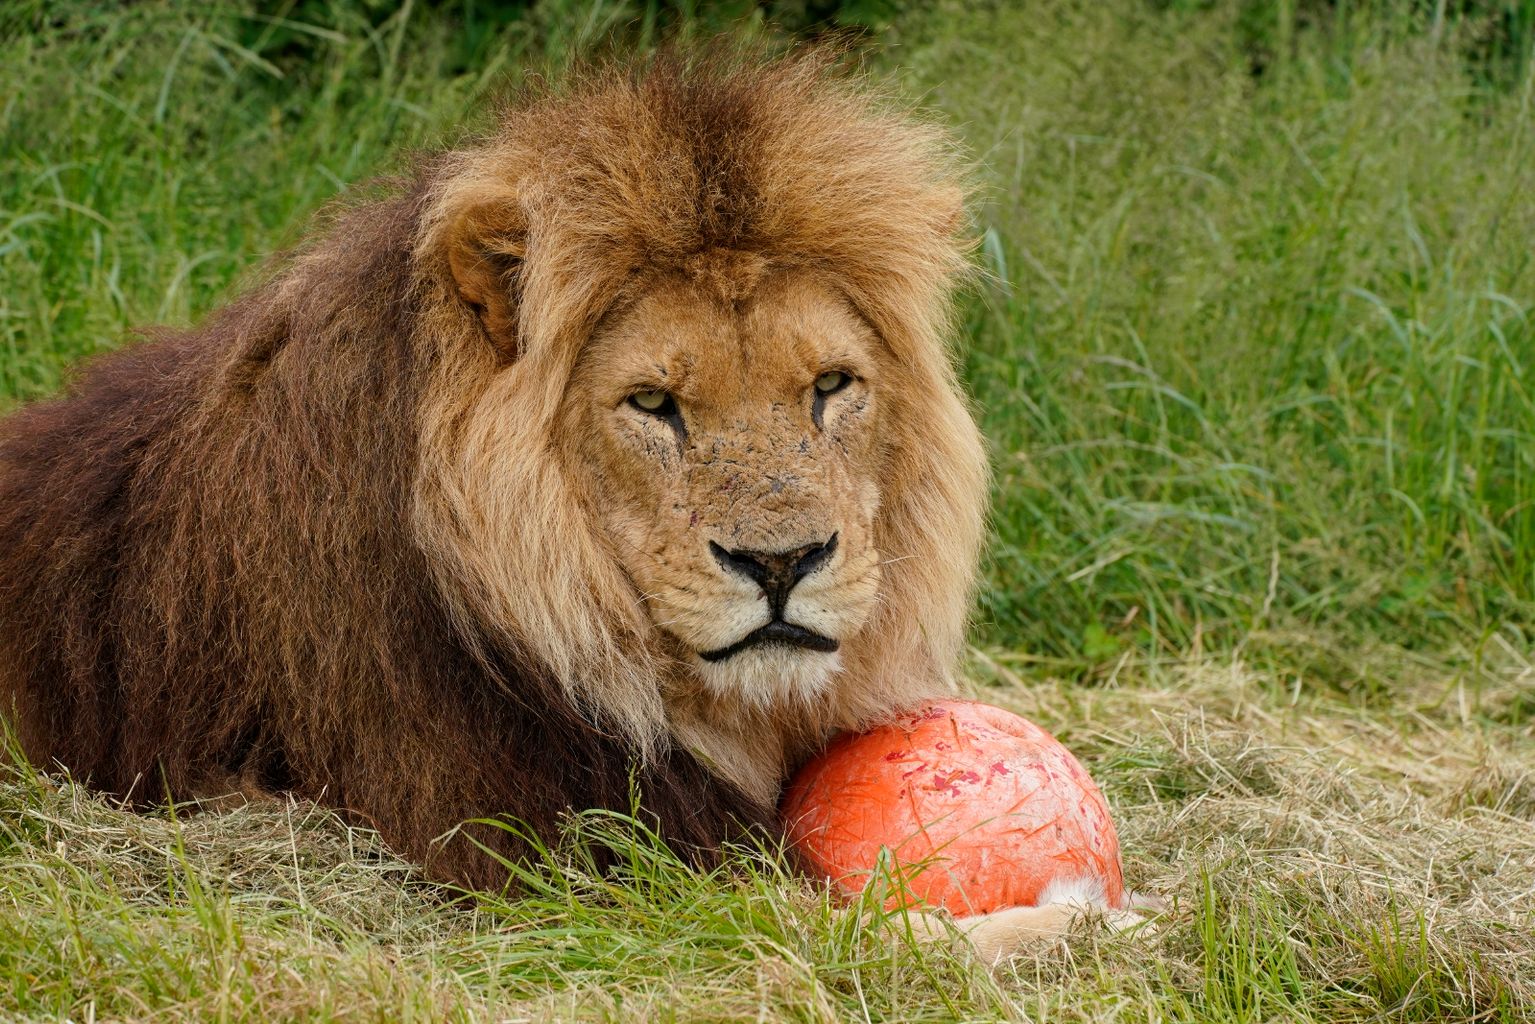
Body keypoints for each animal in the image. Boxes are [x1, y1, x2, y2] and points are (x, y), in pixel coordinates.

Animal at [0, 52, 1138, 957]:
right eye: (653, 404)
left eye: (829, 386)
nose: (782, 564)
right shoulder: (549, 848)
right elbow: (875, 929)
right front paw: (1081, 915)